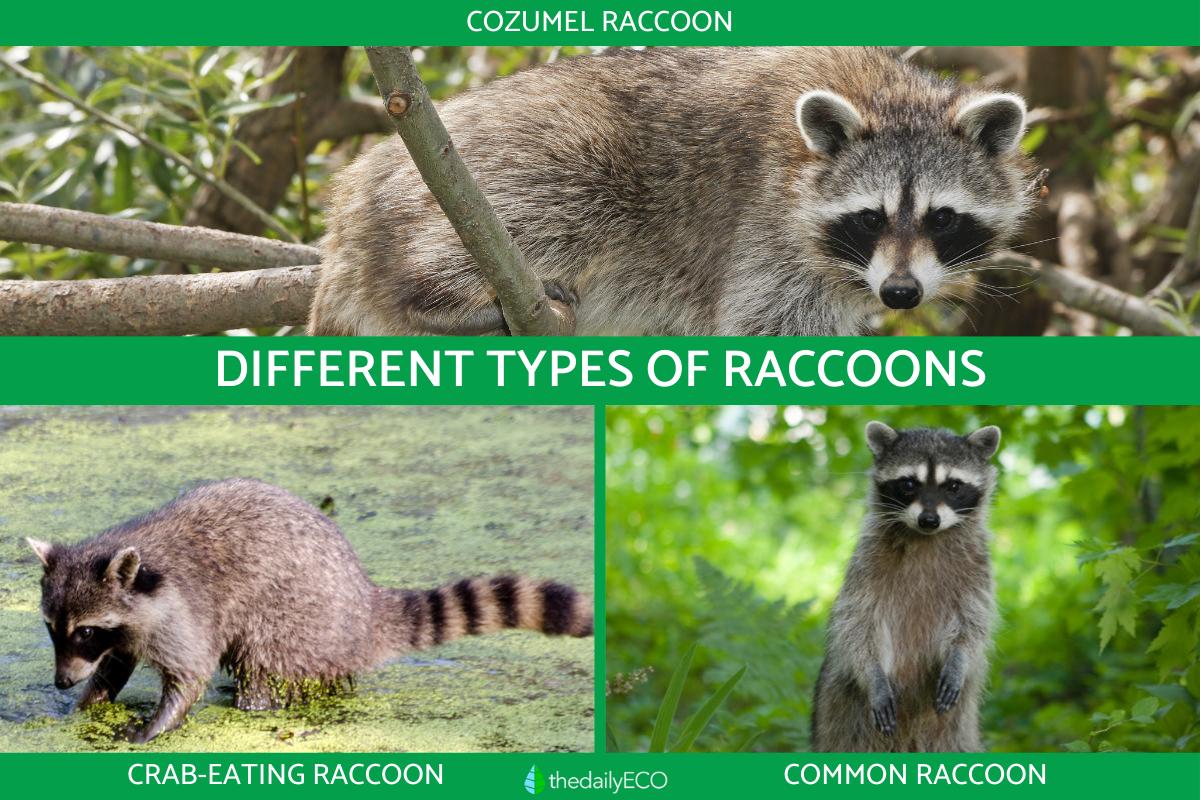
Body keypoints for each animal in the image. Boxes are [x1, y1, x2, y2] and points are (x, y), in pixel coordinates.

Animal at [25, 479, 592, 743]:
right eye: (53, 630)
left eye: (85, 632)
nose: (60, 683)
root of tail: (364, 606)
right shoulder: (133, 623)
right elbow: (116, 667)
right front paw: (89, 703)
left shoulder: (184, 611)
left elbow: (190, 673)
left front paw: (155, 726)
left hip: (296, 620)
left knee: (261, 667)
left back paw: (253, 704)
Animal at [310, 47, 1035, 336]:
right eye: (870, 217)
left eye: (943, 219)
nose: (902, 294)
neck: (886, 92)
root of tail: (350, 209)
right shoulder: (766, 217)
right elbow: (764, 320)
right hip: (493, 174)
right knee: (563, 192)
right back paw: (439, 295)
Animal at [811, 422, 1000, 752]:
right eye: (909, 483)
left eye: (953, 486)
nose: (929, 520)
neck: (926, 538)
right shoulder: (865, 566)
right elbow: (857, 624)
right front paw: (873, 676)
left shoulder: (978, 569)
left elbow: (973, 623)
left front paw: (959, 659)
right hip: (841, 714)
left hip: (956, 726)